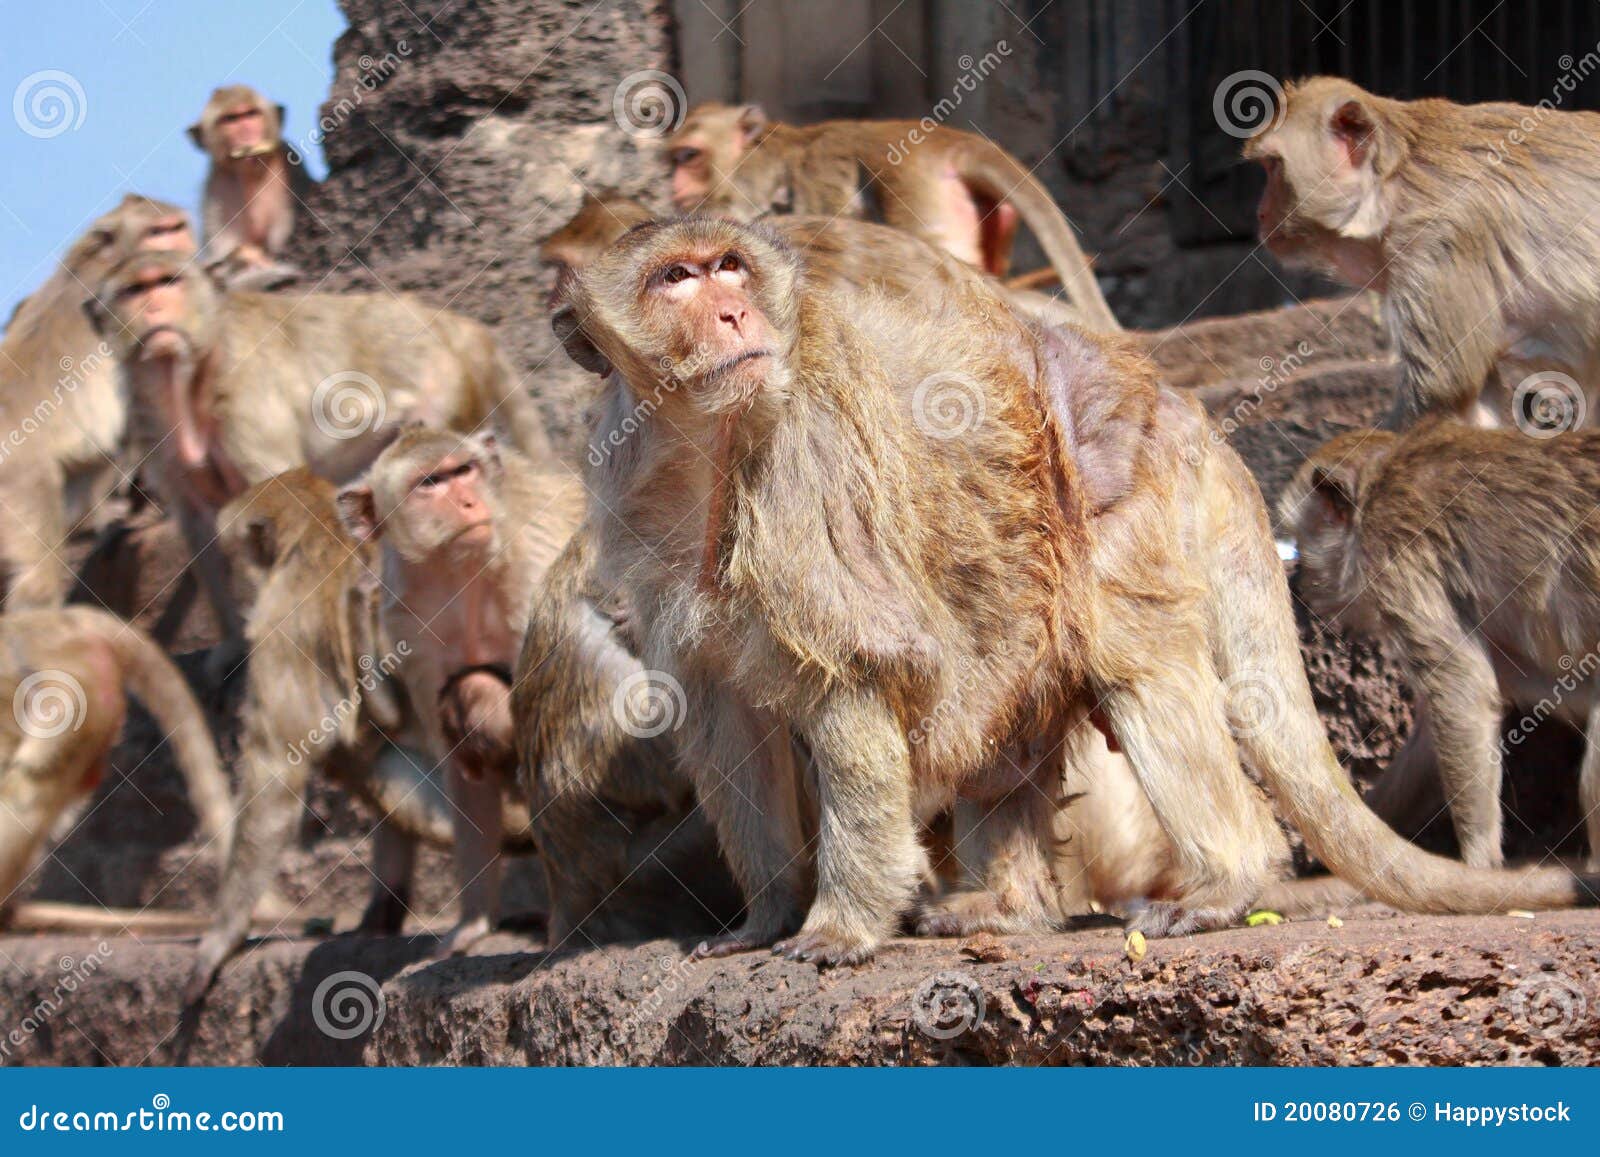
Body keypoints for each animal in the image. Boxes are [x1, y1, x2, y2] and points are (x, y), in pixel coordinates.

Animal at [86, 249, 555, 656]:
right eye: (135, 289)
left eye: (167, 281)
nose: (153, 308)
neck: (184, 378)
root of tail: (458, 326)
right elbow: (200, 528)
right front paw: (233, 645)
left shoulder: (246, 399)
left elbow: (276, 503)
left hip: (449, 395)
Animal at [188, 85, 312, 291]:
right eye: (230, 119)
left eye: (251, 114)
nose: (245, 131)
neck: (251, 175)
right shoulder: (218, 186)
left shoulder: (289, 165)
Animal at [338, 427, 585, 955]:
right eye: (430, 482)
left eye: (463, 470)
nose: (470, 502)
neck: (463, 576)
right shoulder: (408, 633)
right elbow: (459, 771)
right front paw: (473, 921)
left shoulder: (538, 580)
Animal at [554, 215, 1600, 964]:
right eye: (677, 278)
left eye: (729, 266)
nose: (736, 315)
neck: (710, 444)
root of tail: (1190, 419)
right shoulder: (637, 504)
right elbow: (726, 721)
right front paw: (766, 913)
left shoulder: (807, 474)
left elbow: (861, 672)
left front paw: (840, 925)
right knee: (1008, 697)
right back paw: (1015, 909)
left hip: (1130, 504)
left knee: (1131, 661)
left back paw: (1228, 879)